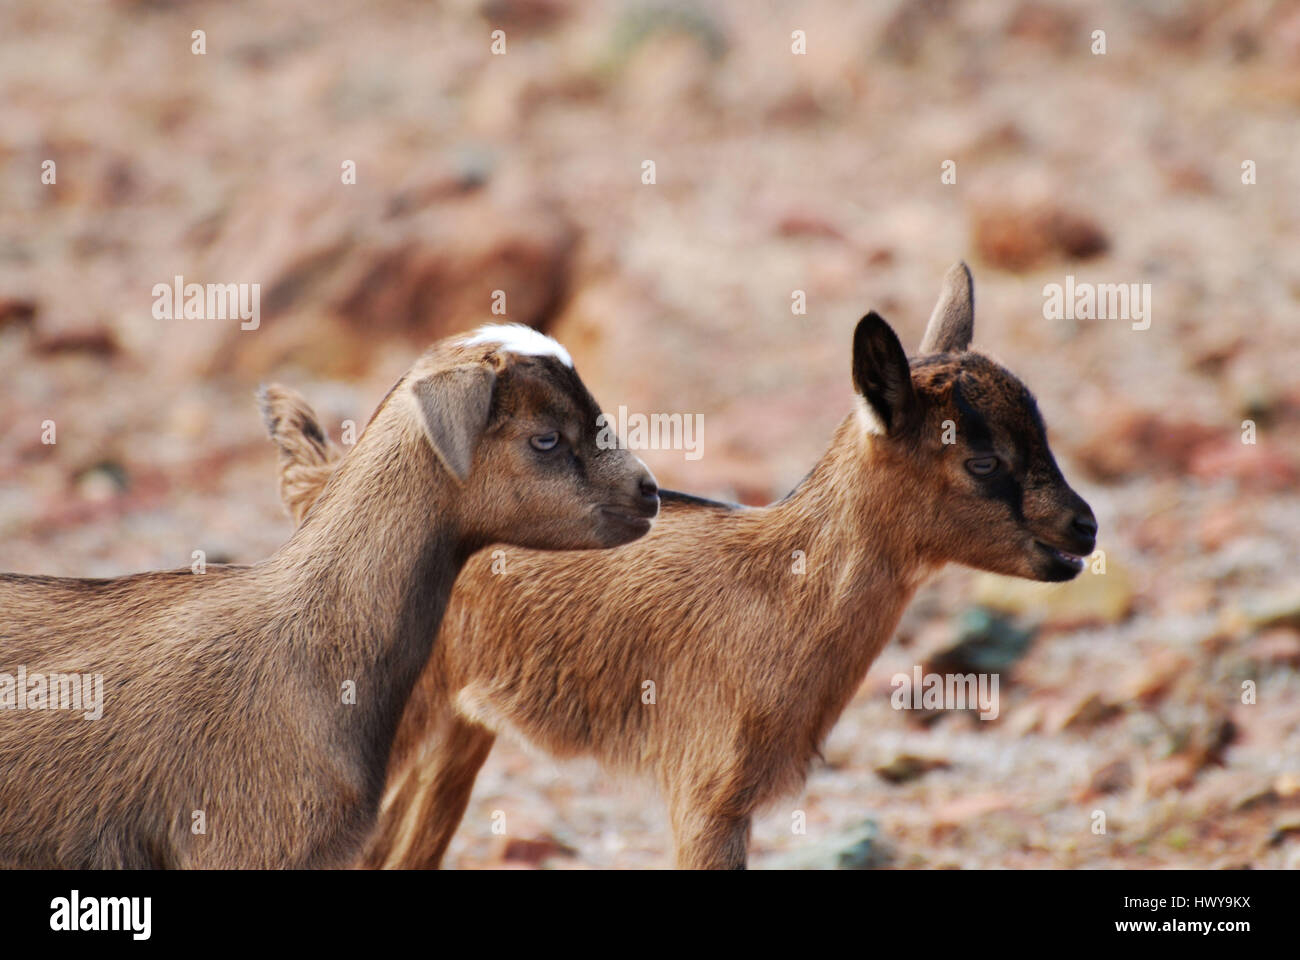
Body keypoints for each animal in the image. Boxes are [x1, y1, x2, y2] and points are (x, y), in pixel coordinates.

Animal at [266, 265, 1098, 869]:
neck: (779, 591)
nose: (1085, 528)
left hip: (458, 728)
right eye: (983, 460)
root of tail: (321, 486)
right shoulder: (707, 796)